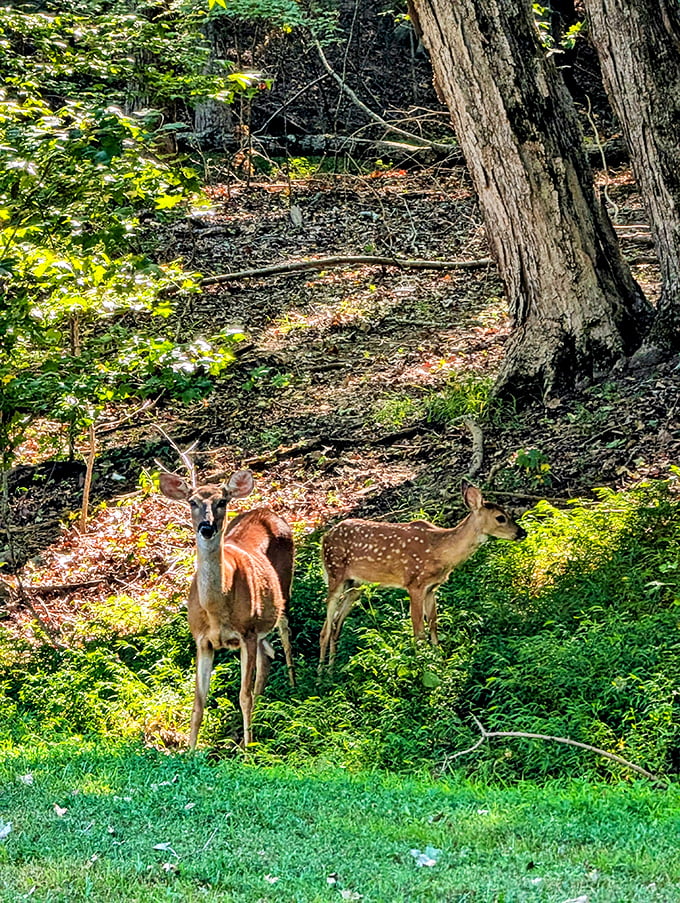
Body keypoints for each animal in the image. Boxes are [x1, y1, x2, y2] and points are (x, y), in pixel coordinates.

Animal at [159, 468, 294, 748]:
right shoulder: (202, 641)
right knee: (268, 654)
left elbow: (243, 696)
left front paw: (248, 750)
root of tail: (268, 512)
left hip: (283, 592)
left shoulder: (246, 634)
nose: (207, 528)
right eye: (192, 502)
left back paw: (295, 683)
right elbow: (198, 703)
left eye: (222, 501)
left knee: (285, 638)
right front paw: (189, 751)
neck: (216, 609)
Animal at [319, 481, 526, 669]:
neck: (440, 551)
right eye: (501, 517)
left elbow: (433, 625)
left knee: (336, 624)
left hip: (355, 584)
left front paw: (439, 660)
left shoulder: (431, 588)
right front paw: (423, 663)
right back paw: (321, 675)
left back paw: (332, 670)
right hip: (335, 573)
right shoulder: (414, 584)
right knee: (325, 629)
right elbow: (419, 631)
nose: (522, 532)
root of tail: (325, 537)